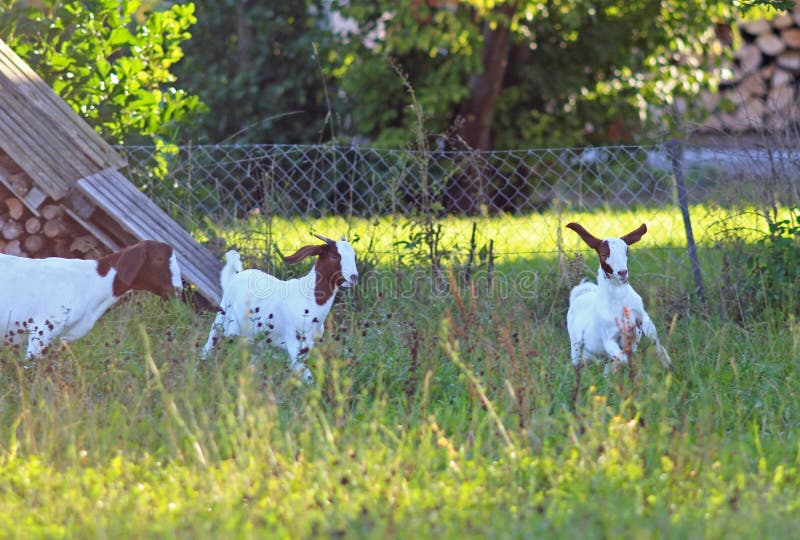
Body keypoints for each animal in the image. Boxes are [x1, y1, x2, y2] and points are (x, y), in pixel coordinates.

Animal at [201, 234, 358, 383]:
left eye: (353, 255)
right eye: (334, 256)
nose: (354, 277)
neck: (309, 298)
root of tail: (234, 277)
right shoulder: (295, 343)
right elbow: (307, 377)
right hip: (222, 318)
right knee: (209, 344)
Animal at [566, 222, 672, 394]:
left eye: (626, 250)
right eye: (604, 253)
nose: (622, 272)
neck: (619, 301)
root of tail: (581, 294)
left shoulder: (642, 317)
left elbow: (653, 335)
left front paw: (667, 363)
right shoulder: (609, 338)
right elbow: (622, 357)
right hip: (575, 348)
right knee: (582, 363)